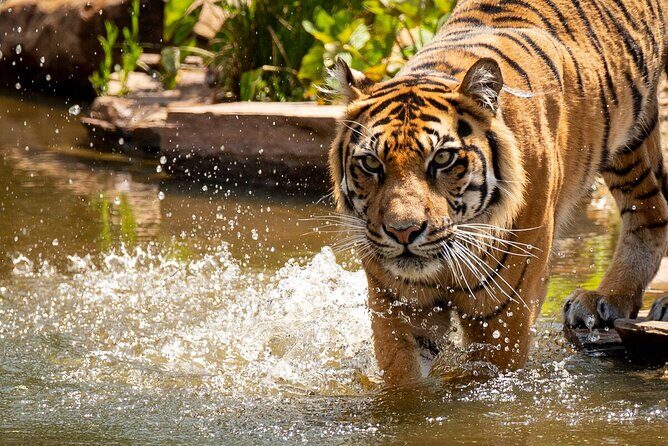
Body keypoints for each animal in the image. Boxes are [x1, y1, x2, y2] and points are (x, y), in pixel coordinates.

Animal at [328, 0, 668, 385]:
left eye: (442, 158)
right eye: (371, 163)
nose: (403, 232)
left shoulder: (501, 314)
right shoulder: (399, 306)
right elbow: (405, 385)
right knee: (653, 210)